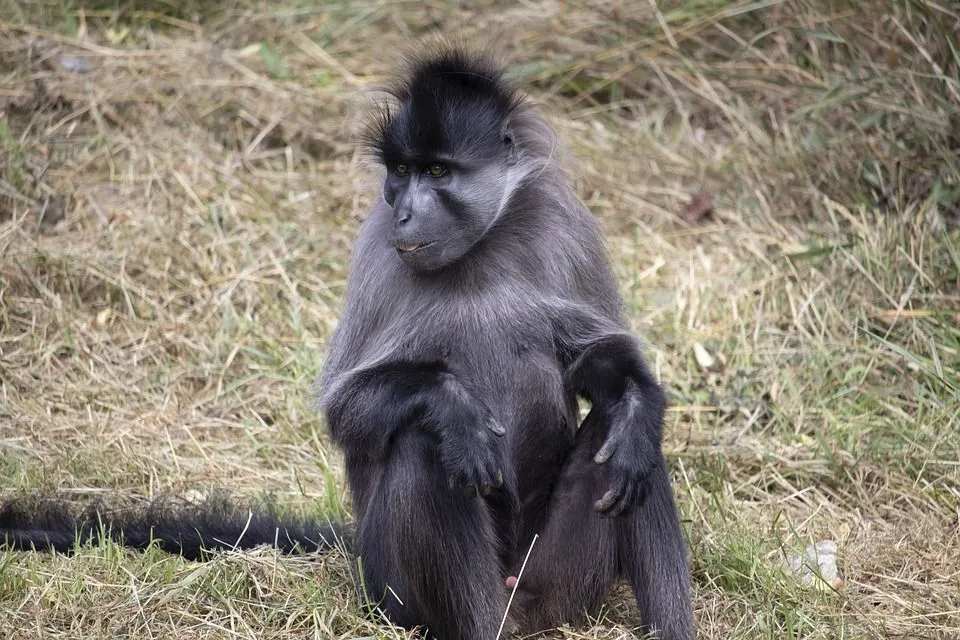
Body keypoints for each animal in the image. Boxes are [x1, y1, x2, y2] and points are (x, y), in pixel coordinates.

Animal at [0, 50, 688, 640]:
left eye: (438, 172)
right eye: (402, 173)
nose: (407, 212)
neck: (477, 256)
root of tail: (518, 605)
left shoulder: (560, 226)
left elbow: (601, 366)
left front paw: (637, 404)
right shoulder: (379, 247)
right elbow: (351, 410)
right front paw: (453, 405)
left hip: (554, 580)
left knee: (627, 449)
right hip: (391, 588)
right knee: (422, 443)